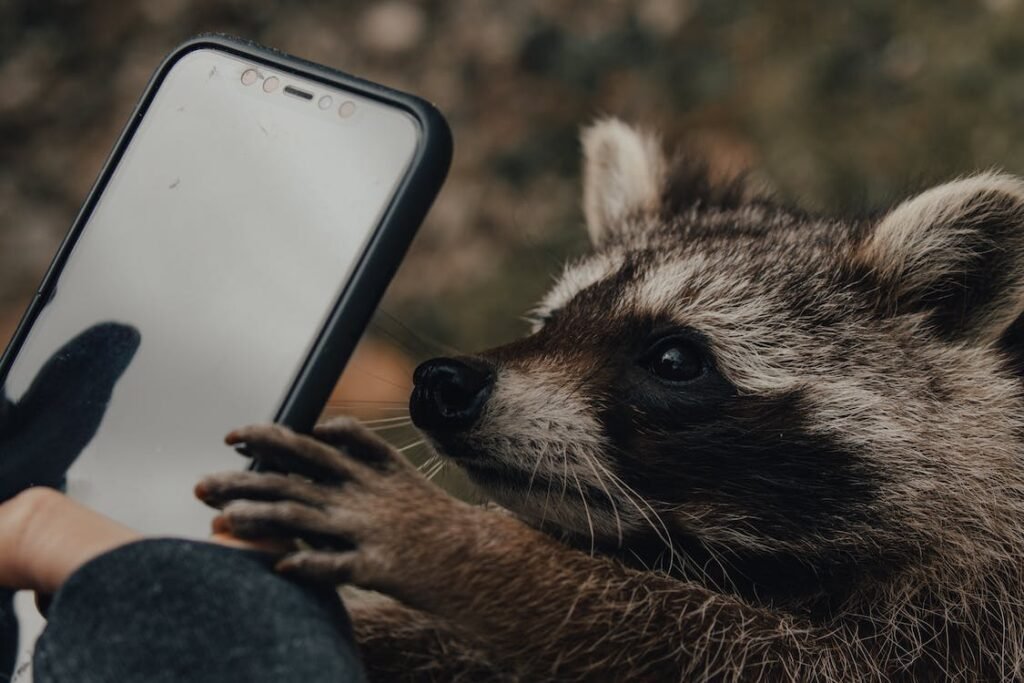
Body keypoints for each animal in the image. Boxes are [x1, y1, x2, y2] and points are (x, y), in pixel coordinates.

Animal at [197, 119, 1024, 681]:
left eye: (674, 358)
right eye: (551, 323)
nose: (442, 385)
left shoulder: (970, 629)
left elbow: (750, 651)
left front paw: (470, 551)